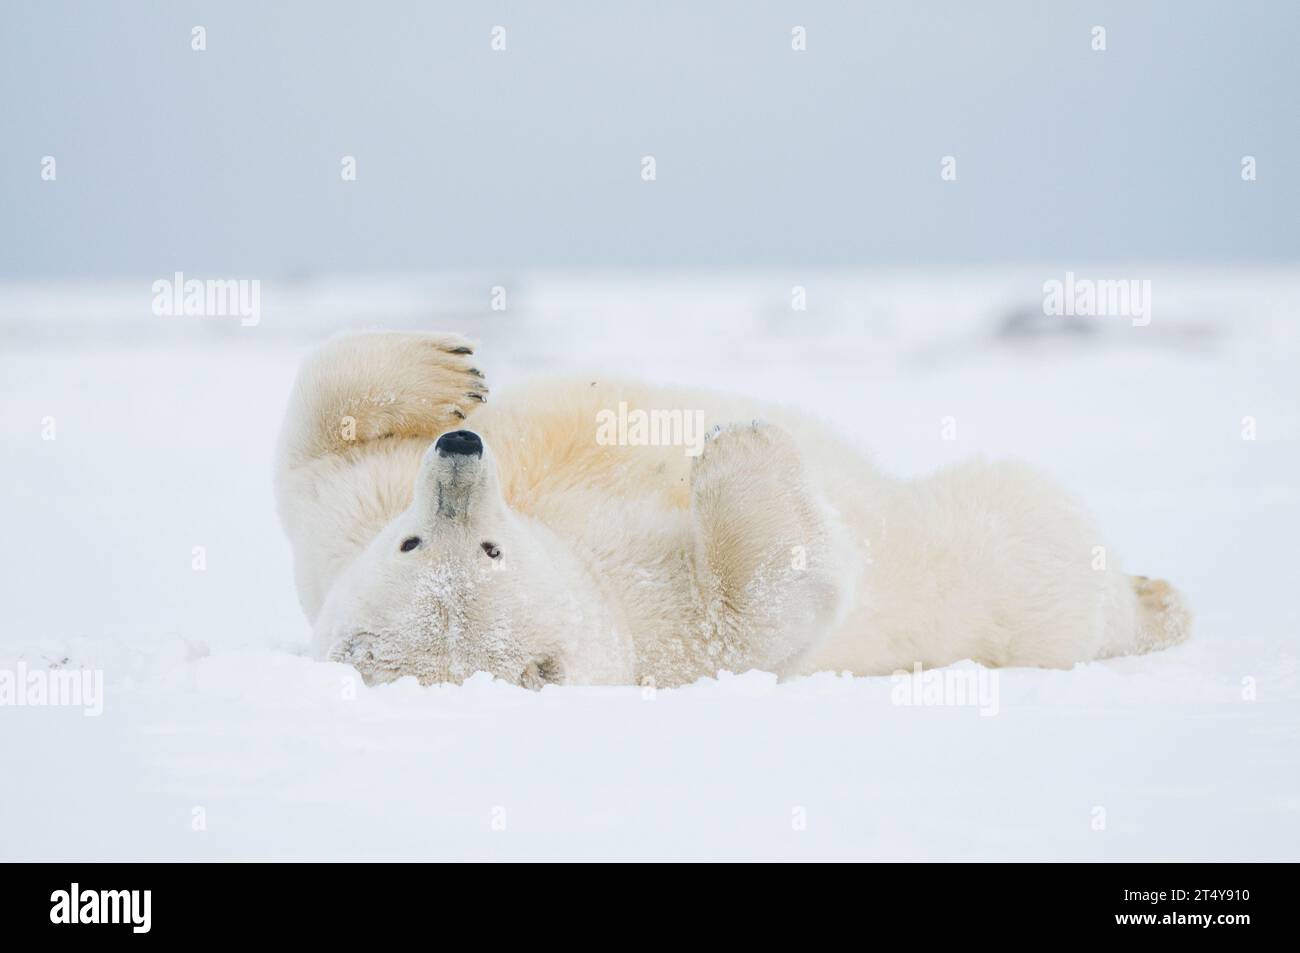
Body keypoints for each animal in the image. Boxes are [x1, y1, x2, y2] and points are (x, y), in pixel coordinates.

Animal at [274, 330, 1191, 688]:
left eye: (408, 541)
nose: (461, 453)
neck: (564, 538)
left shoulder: (340, 533)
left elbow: (316, 455)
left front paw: (445, 369)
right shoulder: (657, 631)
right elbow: (769, 605)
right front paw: (735, 445)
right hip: (999, 568)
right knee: (1038, 533)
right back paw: (1157, 601)